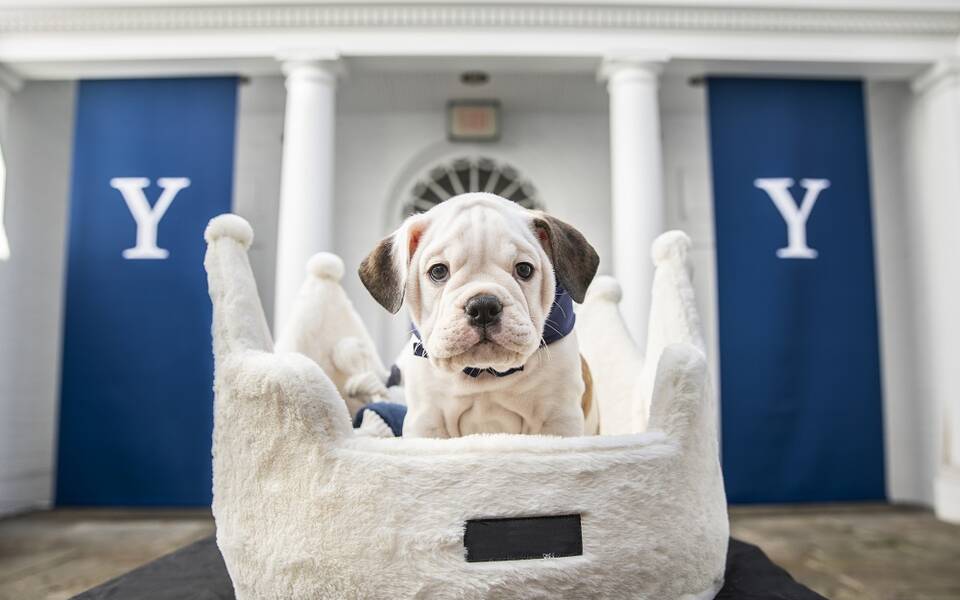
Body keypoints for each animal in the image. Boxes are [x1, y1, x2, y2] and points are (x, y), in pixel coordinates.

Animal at [360, 192, 600, 436]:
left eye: (524, 269)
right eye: (438, 271)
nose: (483, 306)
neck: (485, 371)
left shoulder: (557, 418)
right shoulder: (427, 420)